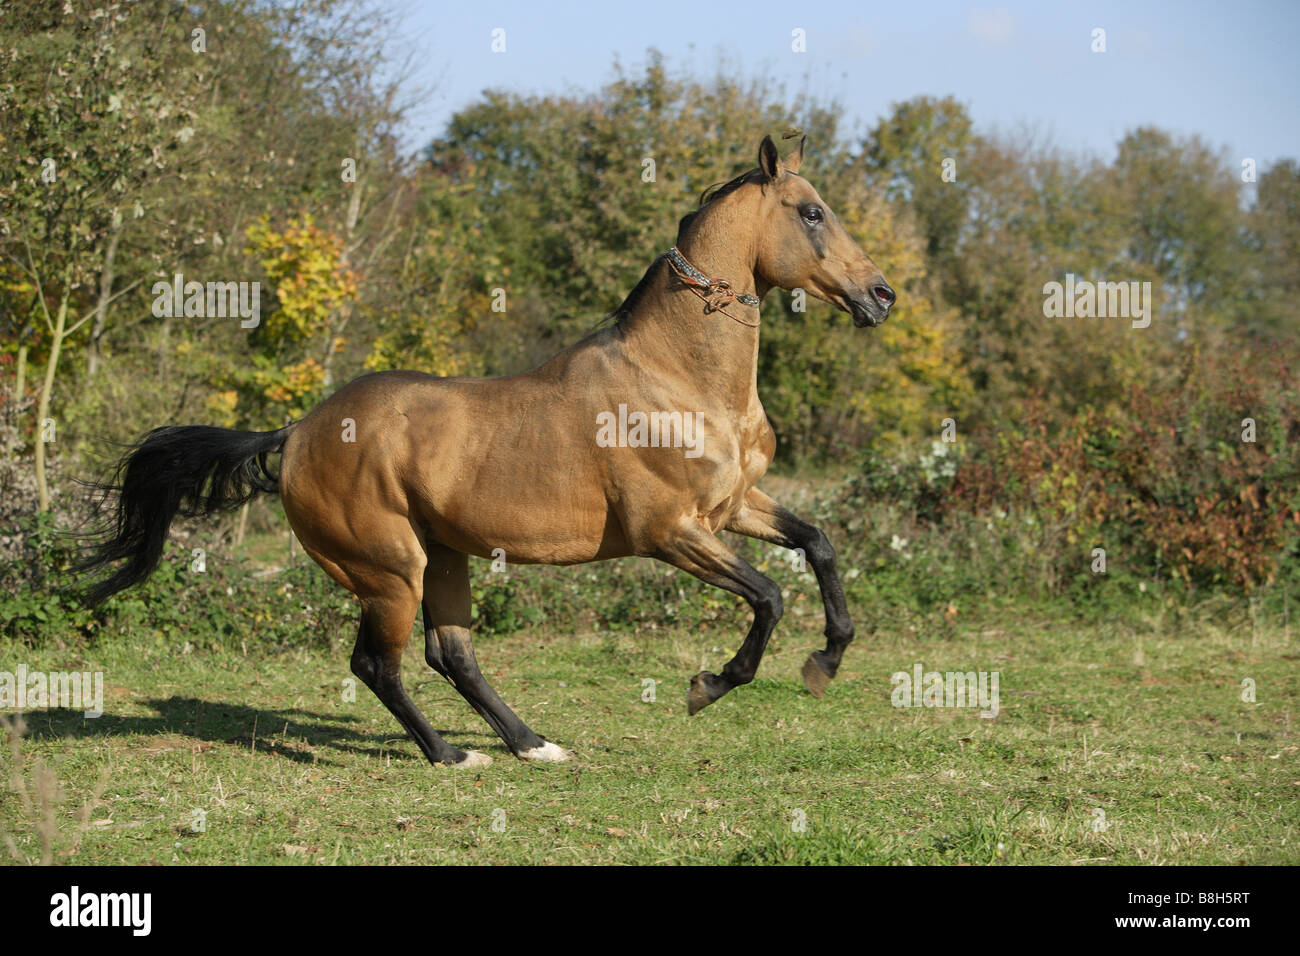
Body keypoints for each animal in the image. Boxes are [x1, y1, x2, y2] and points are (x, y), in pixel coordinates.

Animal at [78, 135, 896, 768]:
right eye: (812, 211)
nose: (881, 295)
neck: (678, 376)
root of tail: (296, 433)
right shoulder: (670, 532)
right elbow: (769, 595)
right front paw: (710, 686)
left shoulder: (734, 507)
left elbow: (819, 546)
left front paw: (825, 662)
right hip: (390, 570)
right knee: (378, 663)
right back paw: (451, 753)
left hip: (443, 556)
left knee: (452, 655)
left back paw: (532, 744)